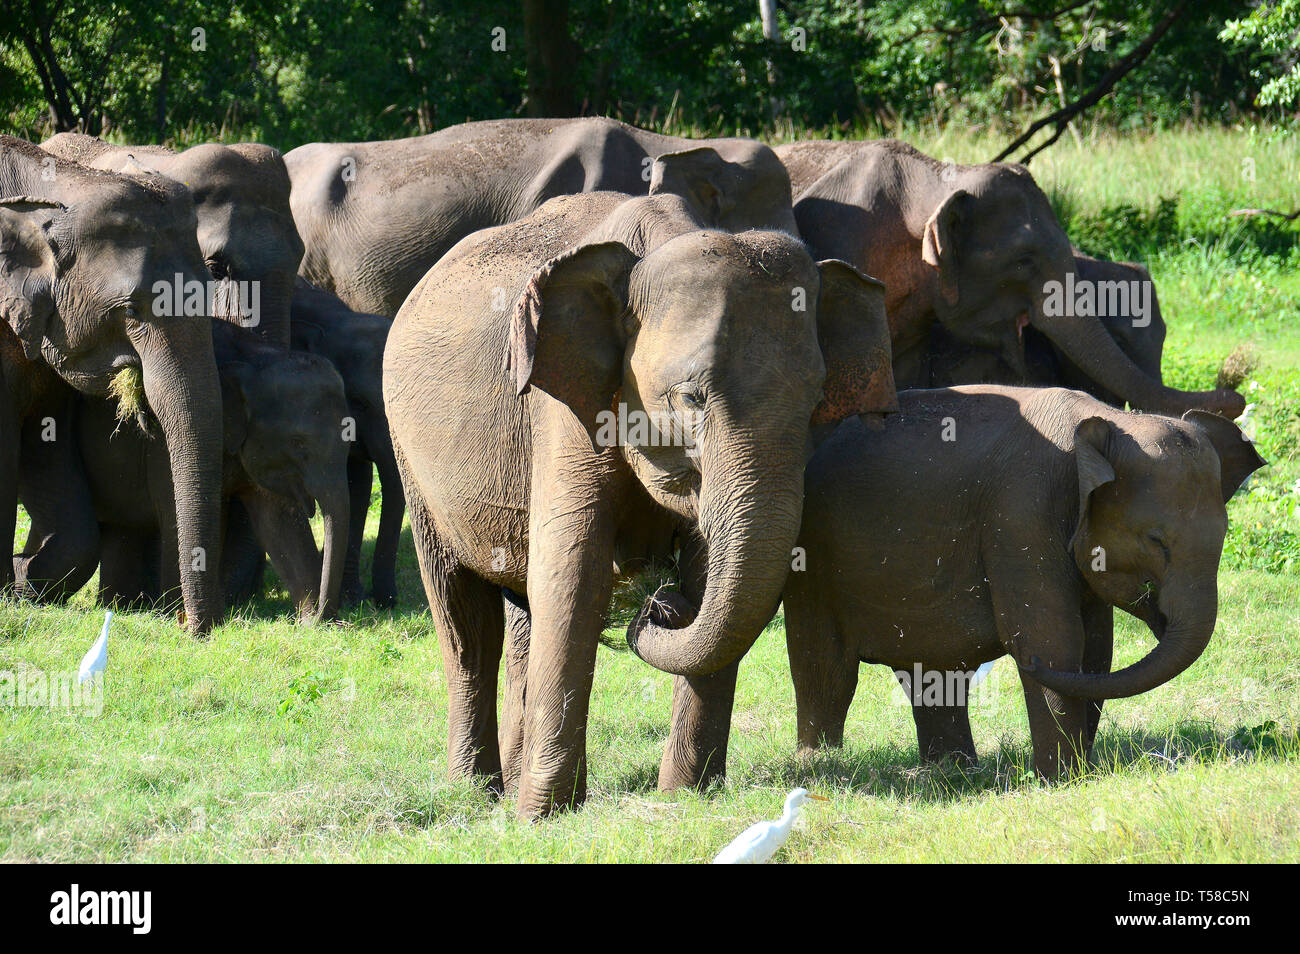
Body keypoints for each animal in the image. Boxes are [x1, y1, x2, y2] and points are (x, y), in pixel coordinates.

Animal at [49, 320, 351, 623]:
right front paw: (178, 616)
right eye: (298, 443)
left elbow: (279, 520)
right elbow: (175, 511)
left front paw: (312, 622)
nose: (326, 614)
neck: (256, 358)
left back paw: (119, 606)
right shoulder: (163, 443)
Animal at [384, 179, 897, 818]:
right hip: (409, 456)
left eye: (816, 400)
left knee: (522, 609)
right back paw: (478, 795)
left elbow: (701, 571)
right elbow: (574, 572)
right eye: (690, 397)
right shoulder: (564, 405)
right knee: (464, 619)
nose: (658, 605)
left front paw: (685, 798)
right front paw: (540, 819)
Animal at [783, 385, 1264, 779]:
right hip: (814, 561)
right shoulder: (1019, 516)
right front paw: (1063, 780)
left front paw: (1079, 771)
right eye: (1155, 541)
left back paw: (953, 769)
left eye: (1224, 534)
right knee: (825, 668)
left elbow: (1096, 651)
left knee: (933, 671)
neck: (1106, 422)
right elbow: (1051, 640)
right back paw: (819, 763)